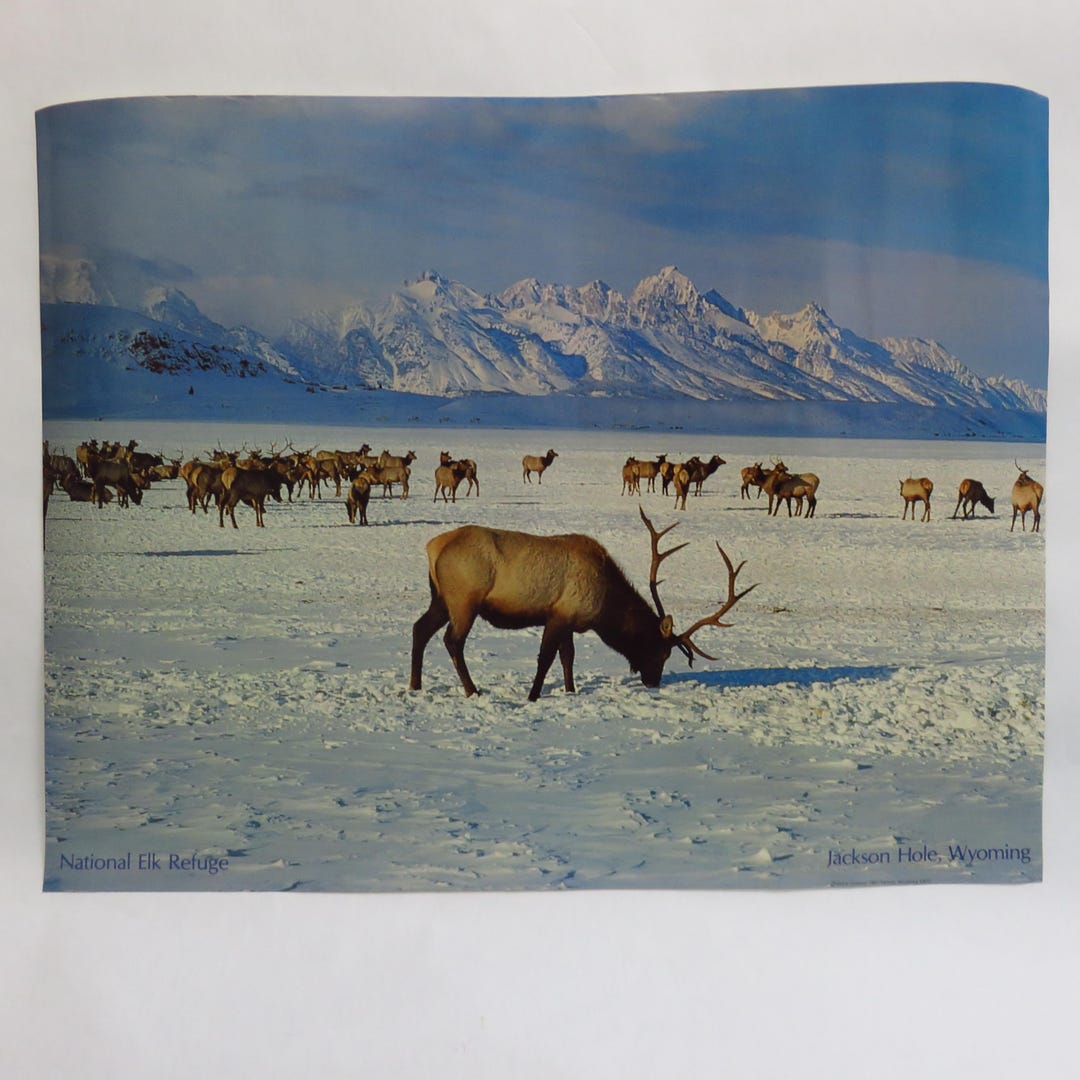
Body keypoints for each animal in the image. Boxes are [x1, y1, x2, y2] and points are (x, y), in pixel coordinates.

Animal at [410, 506, 757, 701]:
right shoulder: (558, 614)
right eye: (662, 652)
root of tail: (433, 547)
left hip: (440, 598)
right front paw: (533, 696)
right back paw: (472, 690)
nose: (653, 682)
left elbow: (568, 658)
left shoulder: (569, 621)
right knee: (452, 640)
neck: (604, 607)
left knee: (419, 629)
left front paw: (570, 690)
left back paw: (415, 686)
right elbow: (545, 658)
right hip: (464, 600)